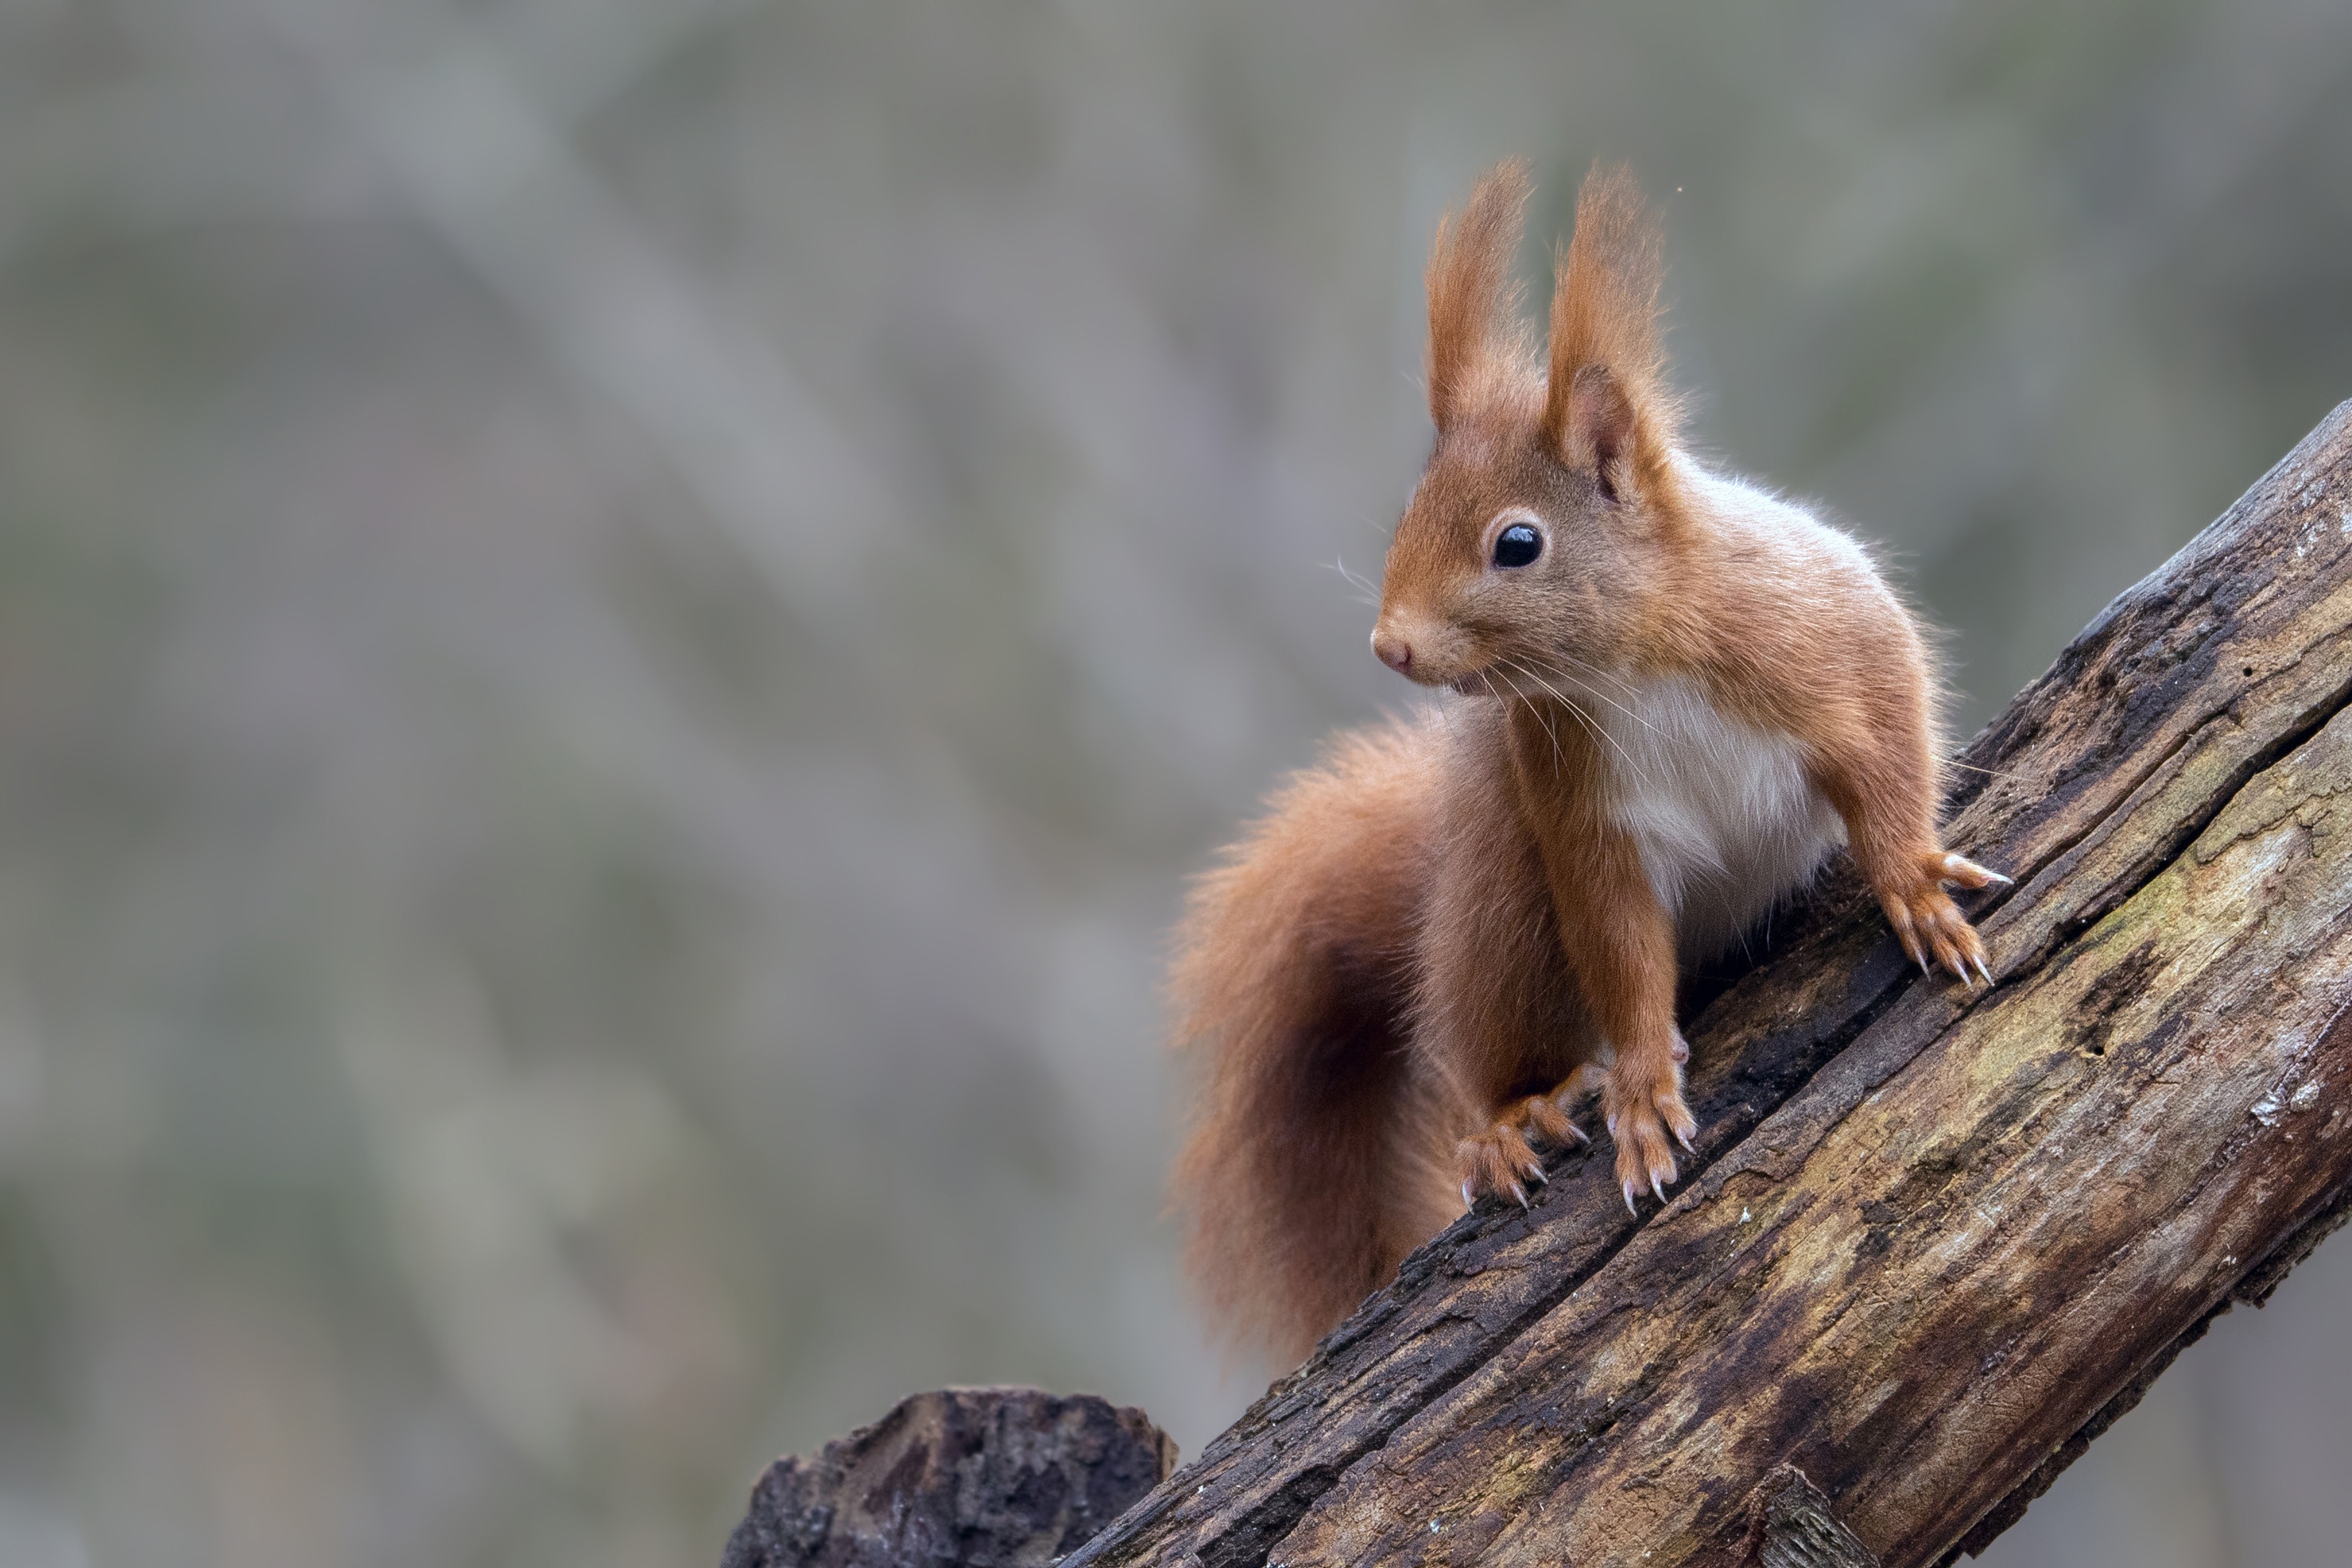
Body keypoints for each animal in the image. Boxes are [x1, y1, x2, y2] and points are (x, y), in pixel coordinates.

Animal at [1169, 161, 2008, 1366]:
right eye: (1410, 512)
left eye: (1518, 544)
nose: (1390, 646)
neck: (1628, 665)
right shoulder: (1578, 806)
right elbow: (1619, 945)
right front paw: (1646, 1087)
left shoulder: (1826, 641)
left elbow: (1889, 754)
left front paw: (1914, 888)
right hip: (1503, 917)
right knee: (1494, 1042)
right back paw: (1508, 1124)